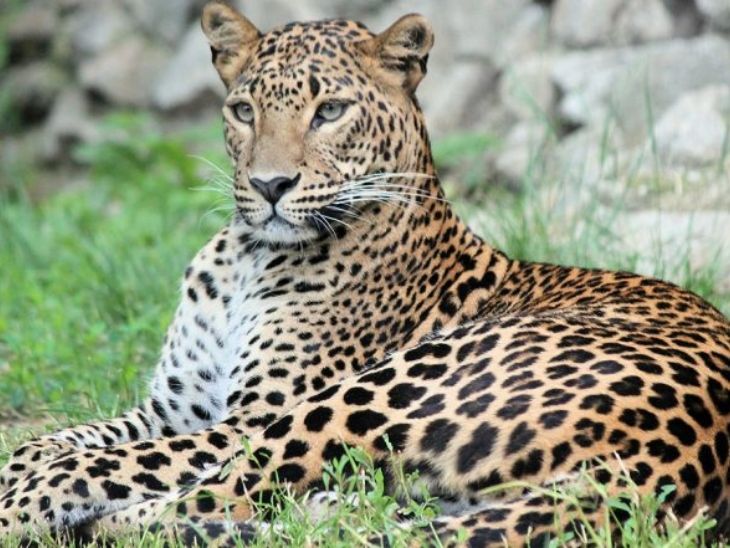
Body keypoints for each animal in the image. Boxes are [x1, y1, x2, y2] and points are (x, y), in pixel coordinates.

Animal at [2, 2, 730, 546]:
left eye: (329, 112)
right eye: (244, 111)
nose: (269, 185)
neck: (245, 259)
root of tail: (668, 463)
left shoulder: (248, 415)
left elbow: (108, 460)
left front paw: (21, 493)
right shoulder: (170, 407)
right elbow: (65, 437)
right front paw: (32, 459)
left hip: (367, 396)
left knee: (222, 494)